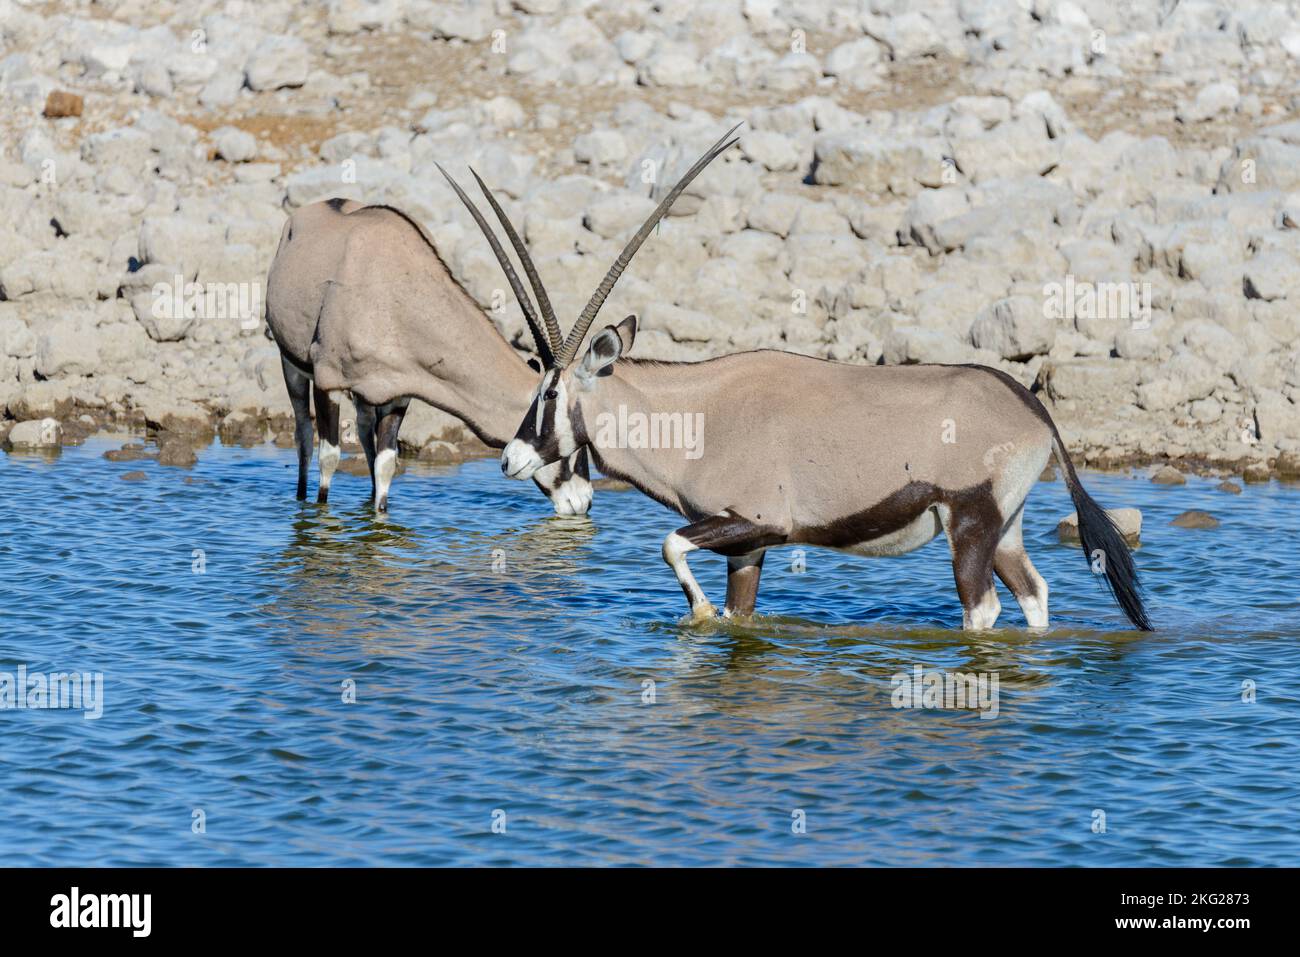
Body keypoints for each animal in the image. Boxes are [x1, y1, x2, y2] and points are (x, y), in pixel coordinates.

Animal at [264, 197, 592, 514]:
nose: (583, 502)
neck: (397, 298)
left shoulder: (399, 393)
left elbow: (385, 464)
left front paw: (379, 515)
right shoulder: (328, 382)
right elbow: (329, 459)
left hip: (367, 395)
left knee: (365, 436)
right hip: (291, 365)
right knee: (304, 437)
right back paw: (300, 498)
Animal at [448, 128, 1151, 632]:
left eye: (550, 393)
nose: (509, 458)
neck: (694, 415)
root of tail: (1034, 412)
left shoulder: (754, 523)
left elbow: (670, 546)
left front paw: (696, 614)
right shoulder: (746, 548)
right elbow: (737, 611)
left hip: (971, 527)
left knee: (983, 611)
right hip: (1004, 528)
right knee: (1035, 595)